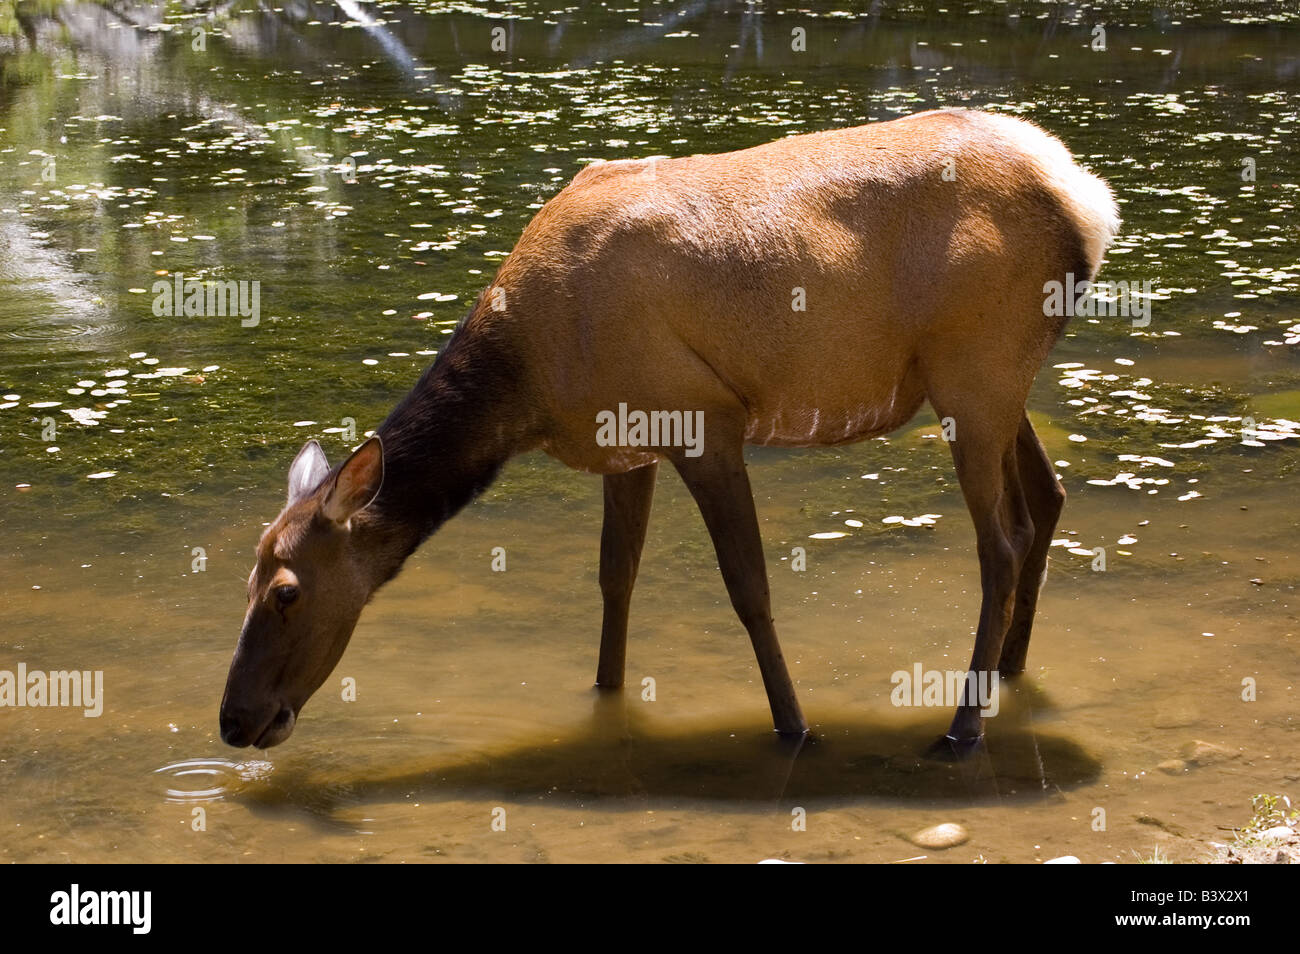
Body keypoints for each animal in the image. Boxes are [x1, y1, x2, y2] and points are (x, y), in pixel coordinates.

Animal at [220, 107, 1119, 756]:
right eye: (245, 579)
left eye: (287, 592)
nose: (234, 719)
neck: (530, 379)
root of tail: (1091, 203)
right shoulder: (627, 442)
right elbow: (616, 578)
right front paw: (604, 697)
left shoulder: (704, 419)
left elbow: (748, 585)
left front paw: (795, 727)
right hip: (988, 380)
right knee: (1047, 498)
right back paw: (1009, 677)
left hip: (974, 368)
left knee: (1000, 540)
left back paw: (962, 727)